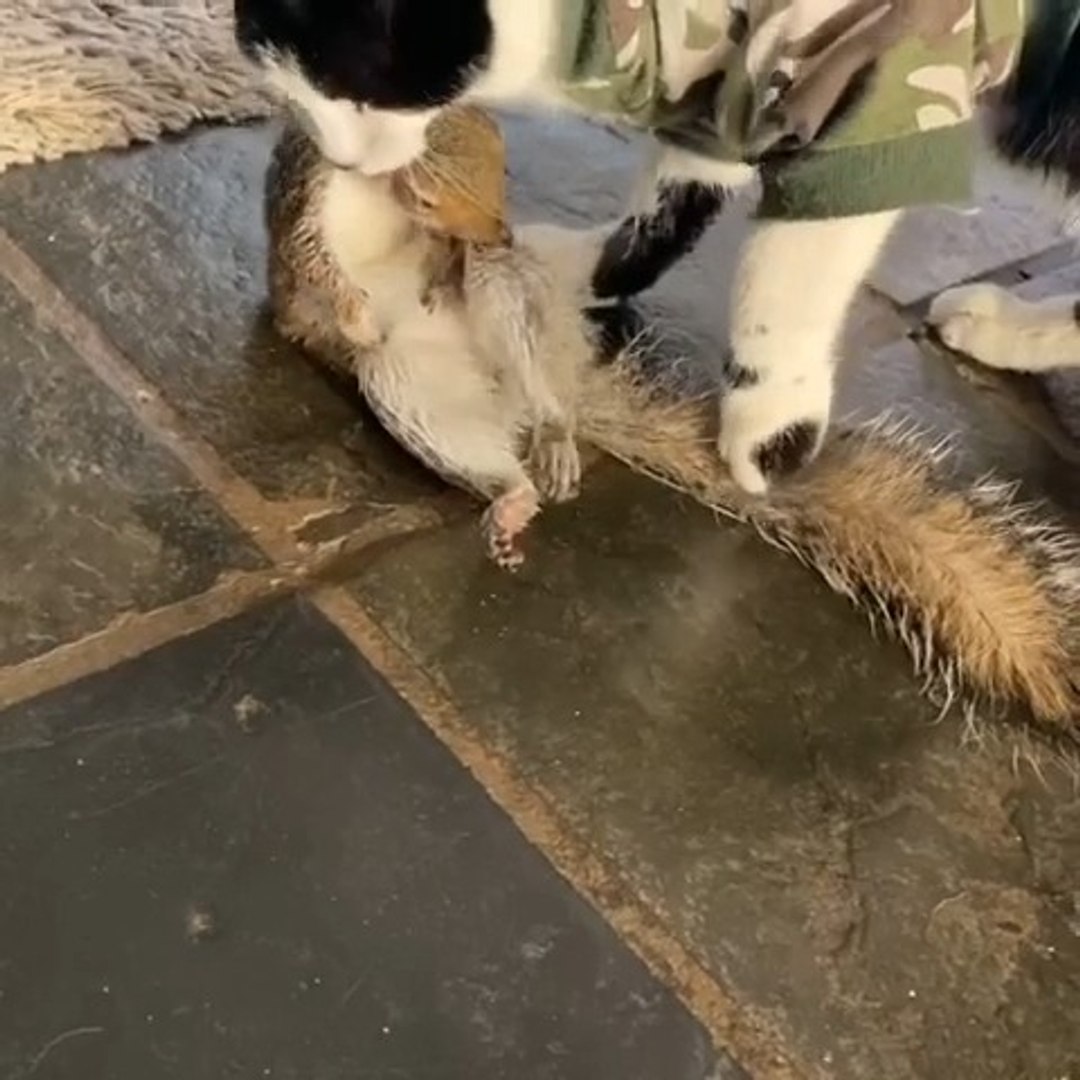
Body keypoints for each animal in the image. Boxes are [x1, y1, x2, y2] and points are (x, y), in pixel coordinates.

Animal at [263, 106, 1080, 740]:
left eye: (502, 159)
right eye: (430, 193)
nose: (493, 233)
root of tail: (565, 376)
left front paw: (440, 266)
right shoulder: (310, 194)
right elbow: (318, 261)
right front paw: (355, 312)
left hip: (506, 316)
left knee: (527, 376)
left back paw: (547, 438)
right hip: (406, 383)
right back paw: (510, 487)